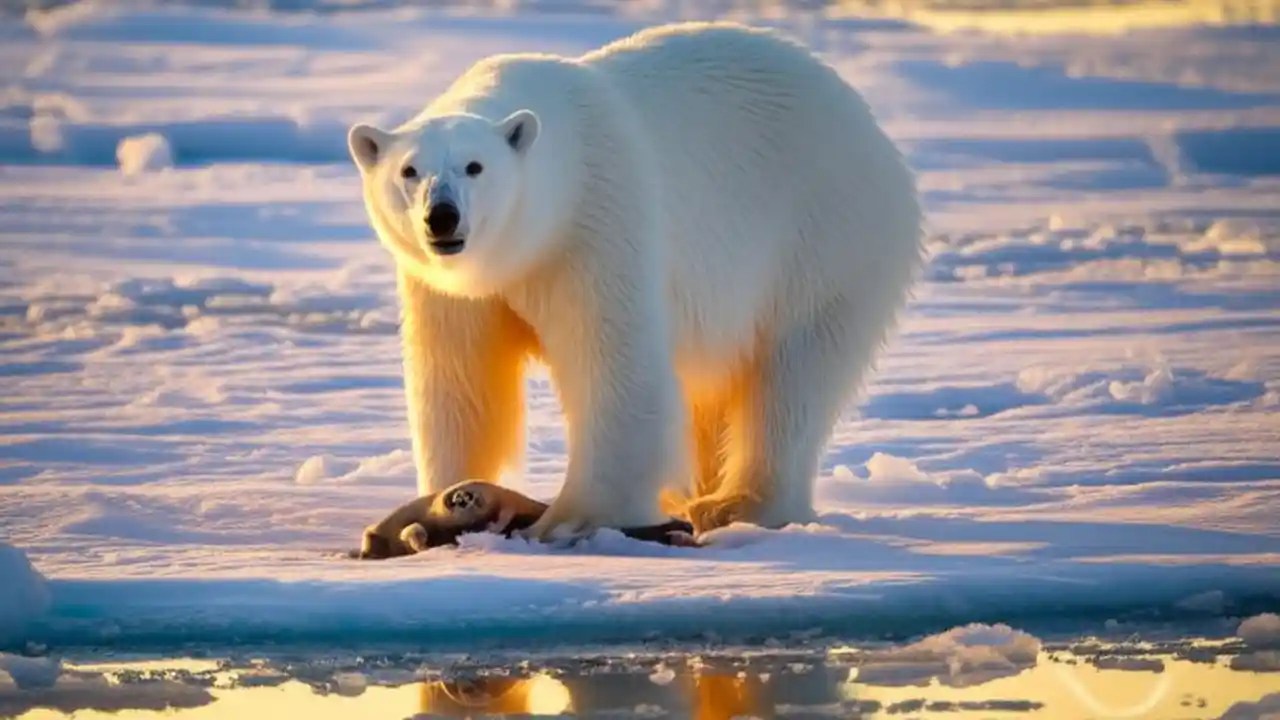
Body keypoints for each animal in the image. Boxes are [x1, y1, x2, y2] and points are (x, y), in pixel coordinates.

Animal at [347, 22, 923, 539]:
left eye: (475, 166)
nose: (442, 218)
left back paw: (735, 504)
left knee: (794, 369)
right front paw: (443, 498)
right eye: (409, 171)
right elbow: (459, 379)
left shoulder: (595, 224)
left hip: (822, 234)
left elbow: (611, 363)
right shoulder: (447, 288)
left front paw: (577, 518)